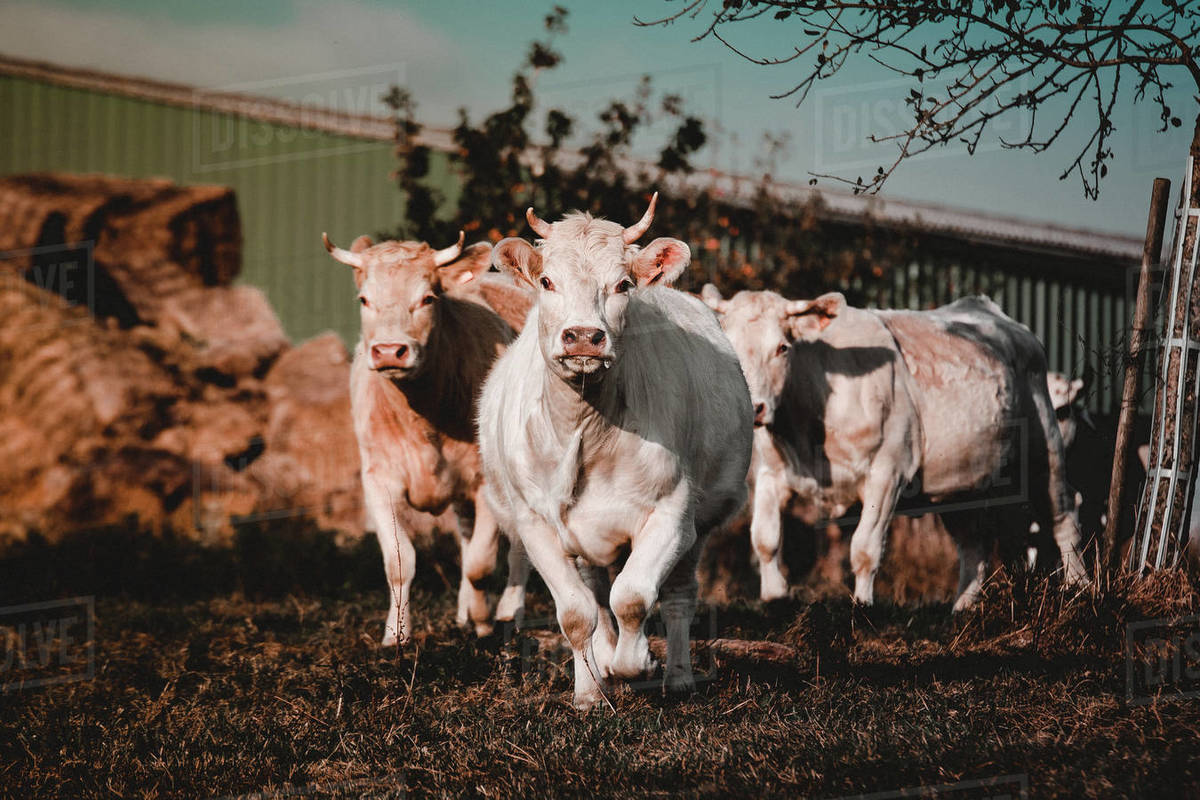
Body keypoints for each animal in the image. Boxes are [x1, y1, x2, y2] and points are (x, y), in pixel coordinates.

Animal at [323, 230, 530, 646]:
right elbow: (400, 561)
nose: (389, 351)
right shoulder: (379, 479)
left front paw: (484, 625)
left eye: (427, 299)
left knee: (518, 549)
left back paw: (508, 615)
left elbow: (482, 563)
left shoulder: (486, 481)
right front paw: (395, 636)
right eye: (364, 300)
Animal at [478, 196, 753, 710]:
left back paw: (677, 676)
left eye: (623, 284)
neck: (588, 431)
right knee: (595, 594)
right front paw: (589, 692)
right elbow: (577, 614)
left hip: (701, 523)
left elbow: (632, 597)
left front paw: (637, 662)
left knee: (678, 597)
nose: (584, 337)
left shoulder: (672, 513)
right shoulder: (536, 523)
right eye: (547, 281)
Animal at [701, 285, 1088, 610]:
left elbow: (864, 549)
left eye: (782, 348)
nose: (754, 407)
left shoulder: (888, 471)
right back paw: (962, 610)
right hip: (956, 480)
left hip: (1044, 450)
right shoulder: (770, 473)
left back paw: (1081, 589)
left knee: (1063, 516)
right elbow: (764, 540)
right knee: (973, 543)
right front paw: (774, 599)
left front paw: (862, 609)